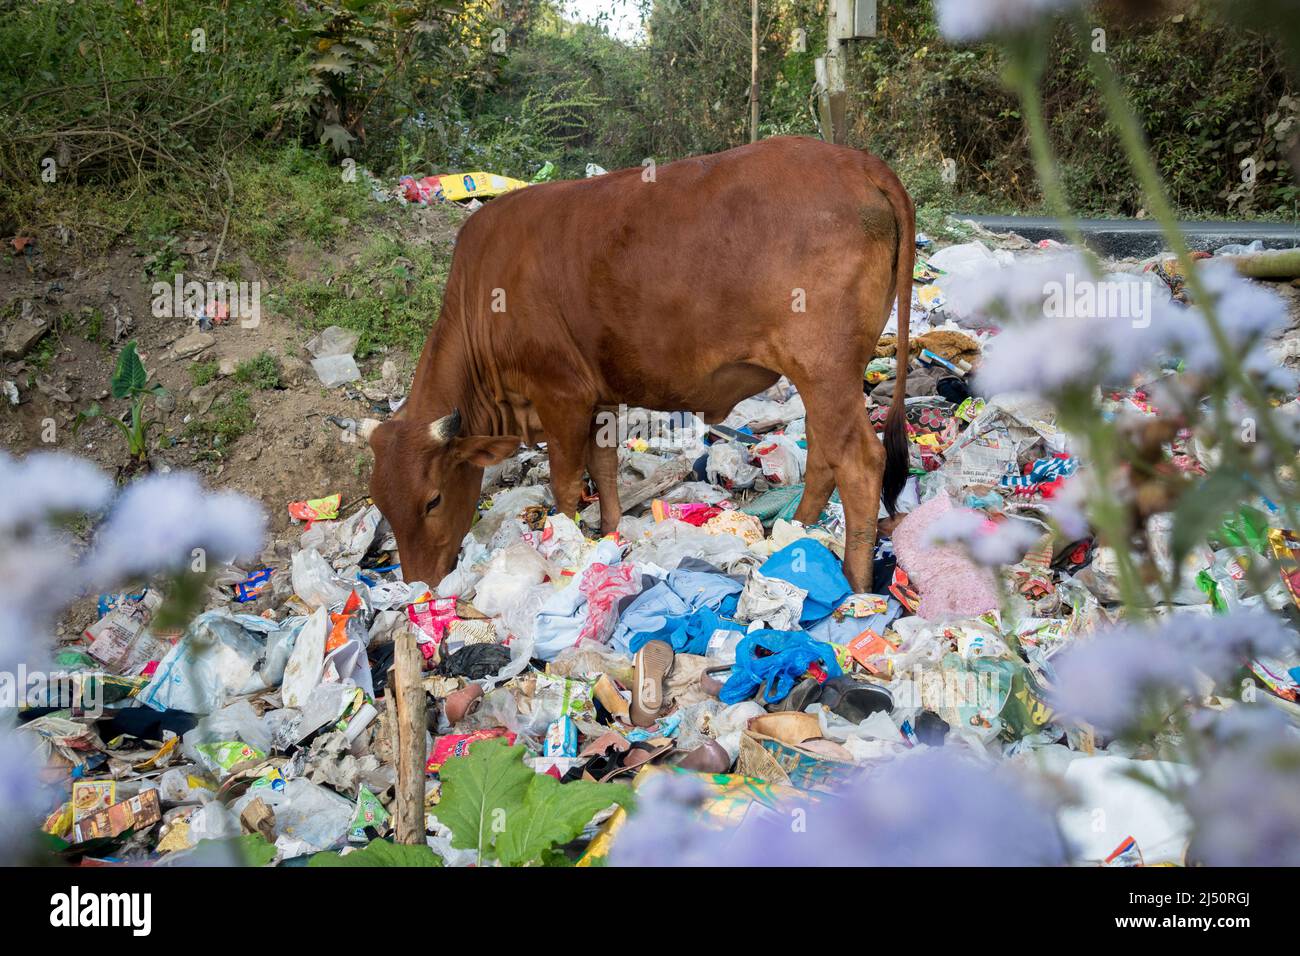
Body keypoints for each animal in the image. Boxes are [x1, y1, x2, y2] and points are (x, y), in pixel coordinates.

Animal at [367, 135, 914, 594]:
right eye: (381, 505)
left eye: (433, 500)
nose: (419, 585)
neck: (482, 297)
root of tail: (858, 162)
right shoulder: (599, 397)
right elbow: (604, 469)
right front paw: (610, 537)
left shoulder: (560, 395)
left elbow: (566, 484)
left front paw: (566, 548)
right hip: (827, 378)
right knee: (824, 453)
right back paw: (796, 530)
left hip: (825, 369)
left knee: (859, 462)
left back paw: (854, 583)